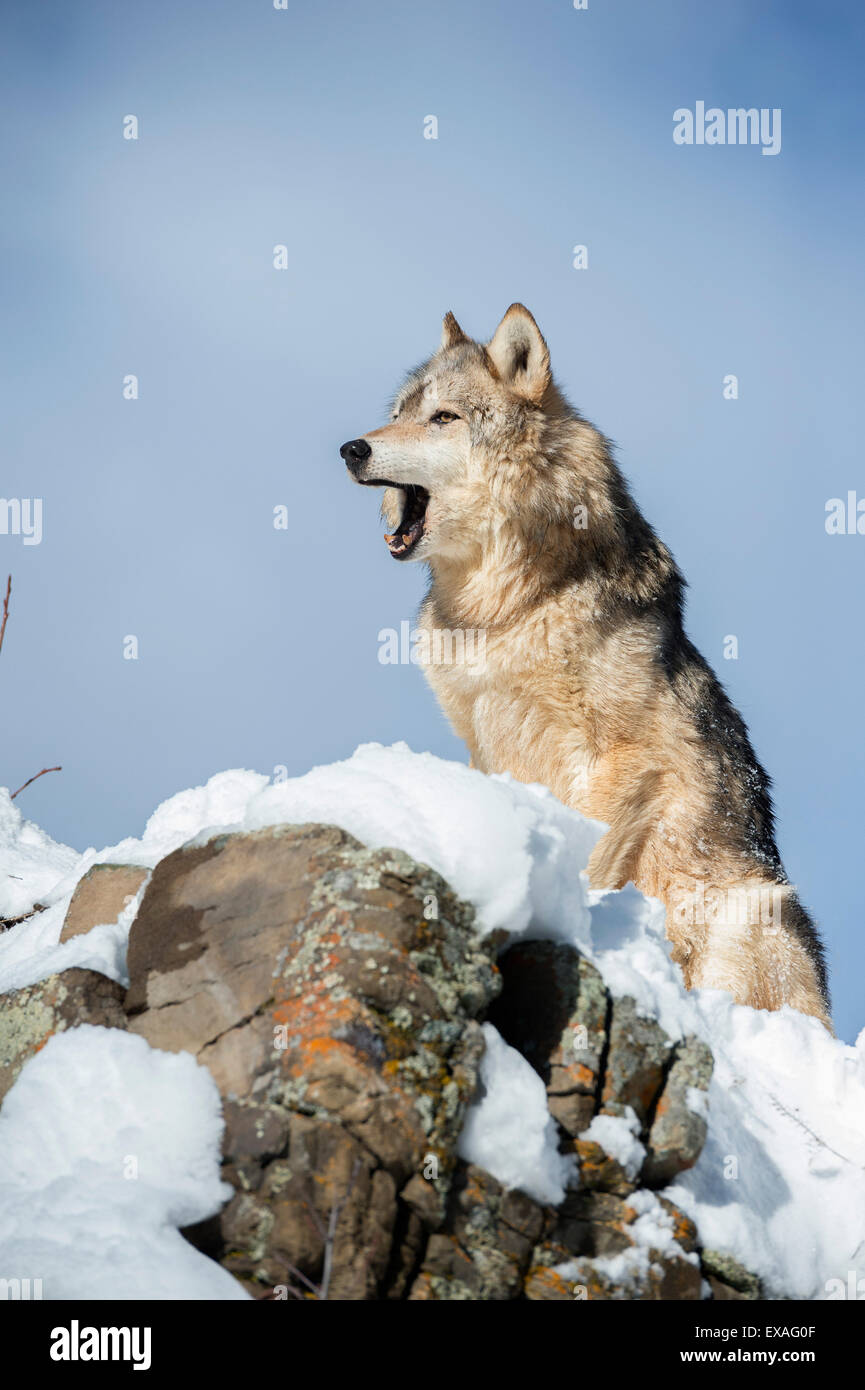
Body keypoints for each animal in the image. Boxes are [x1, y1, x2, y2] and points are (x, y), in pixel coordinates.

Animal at [340, 304, 831, 1027]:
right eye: (399, 411)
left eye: (443, 418)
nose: (352, 449)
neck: (503, 609)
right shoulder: (484, 746)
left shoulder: (624, 758)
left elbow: (591, 850)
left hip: (746, 914)